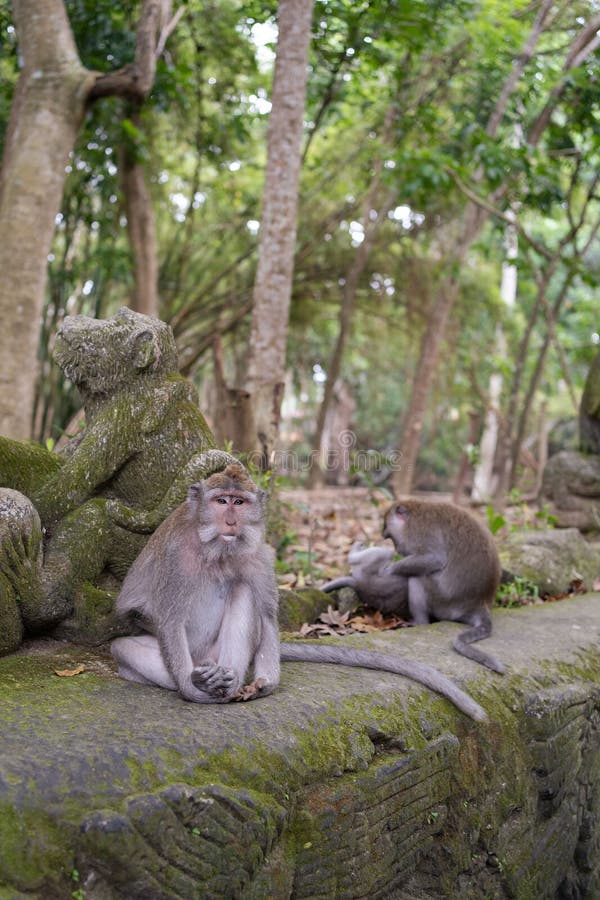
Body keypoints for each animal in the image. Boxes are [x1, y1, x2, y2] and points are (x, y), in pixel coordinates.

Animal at [111, 464, 489, 722]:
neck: (217, 551)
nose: (231, 522)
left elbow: (266, 615)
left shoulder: (261, 554)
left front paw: (265, 683)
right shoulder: (175, 555)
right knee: (125, 648)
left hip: (220, 652)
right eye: (221, 501)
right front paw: (192, 691)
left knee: (243, 592)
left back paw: (229, 681)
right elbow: (170, 620)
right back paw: (204, 684)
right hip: (187, 656)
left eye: (239, 502)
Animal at [380, 499, 505, 675]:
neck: (413, 516)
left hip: (443, 603)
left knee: (417, 579)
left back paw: (419, 622)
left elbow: (434, 559)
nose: (397, 549)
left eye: (391, 538)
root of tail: (480, 603)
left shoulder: (422, 531)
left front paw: (389, 569)